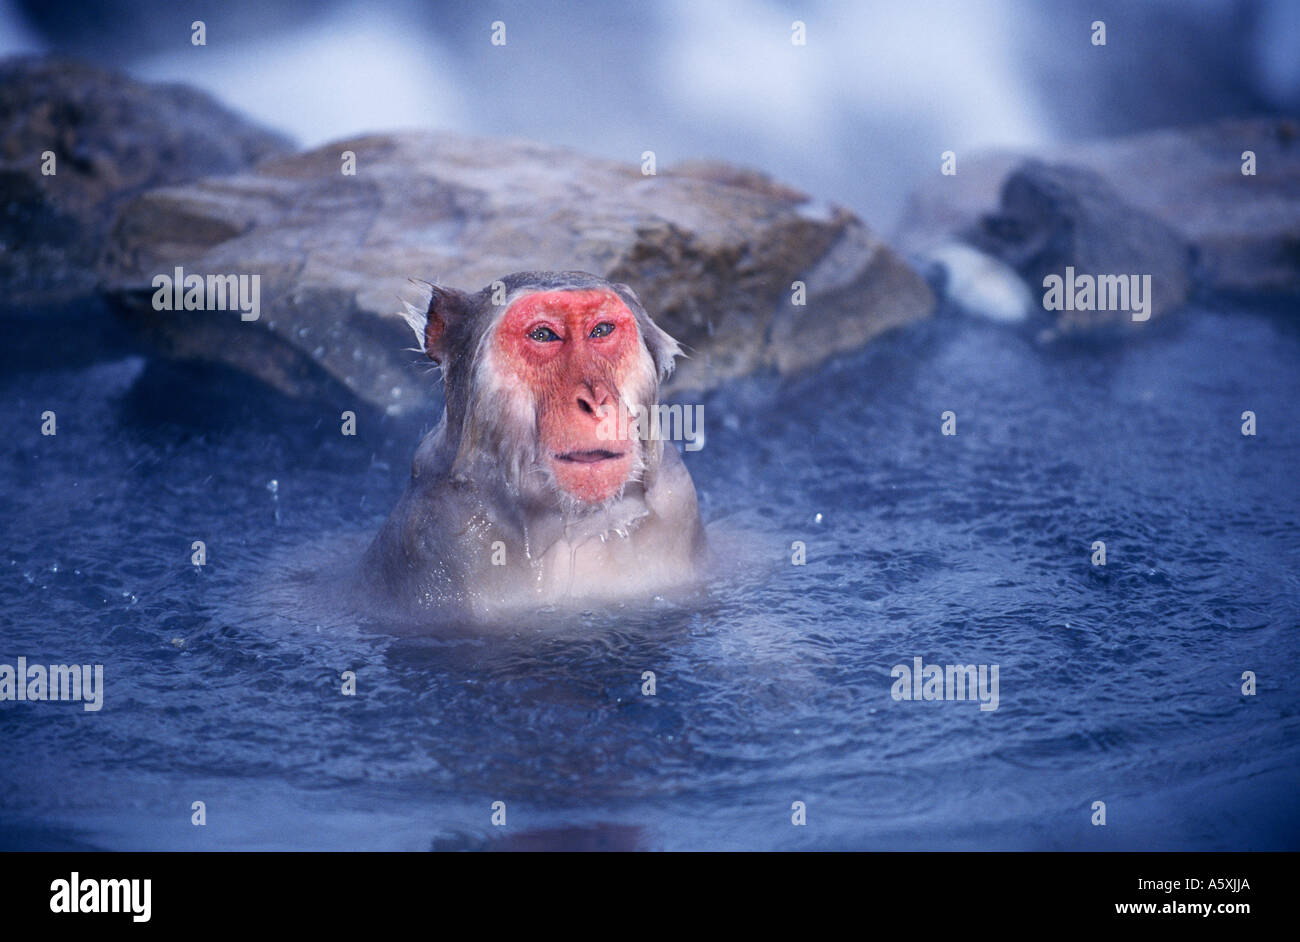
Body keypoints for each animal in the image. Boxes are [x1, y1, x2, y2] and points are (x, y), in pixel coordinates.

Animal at [362, 271, 708, 619]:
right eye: (543, 335)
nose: (596, 401)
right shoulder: (442, 533)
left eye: (601, 330)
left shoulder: (677, 497)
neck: (571, 523)